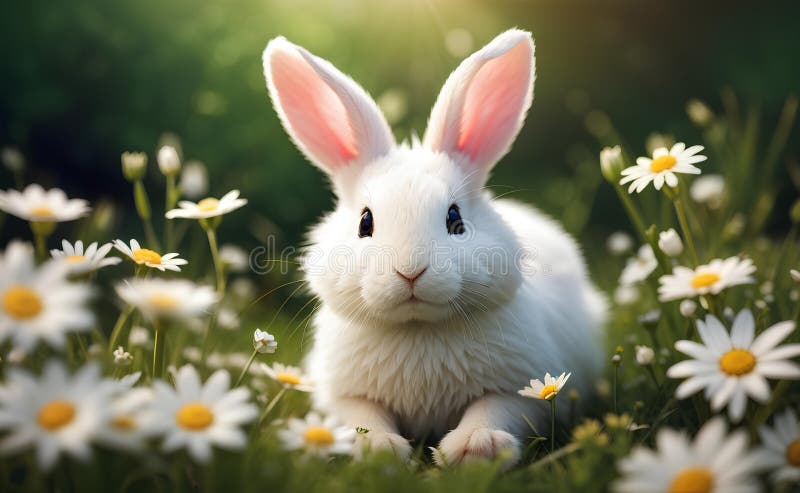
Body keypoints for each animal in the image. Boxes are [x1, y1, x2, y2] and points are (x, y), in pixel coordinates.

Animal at [262, 28, 606, 466]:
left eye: (455, 219)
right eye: (365, 223)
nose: (410, 271)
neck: (418, 328)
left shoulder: (522, 387)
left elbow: (495, 409)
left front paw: (476, 448)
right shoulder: (342, 395)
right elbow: (360, 417)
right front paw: (380, 449)